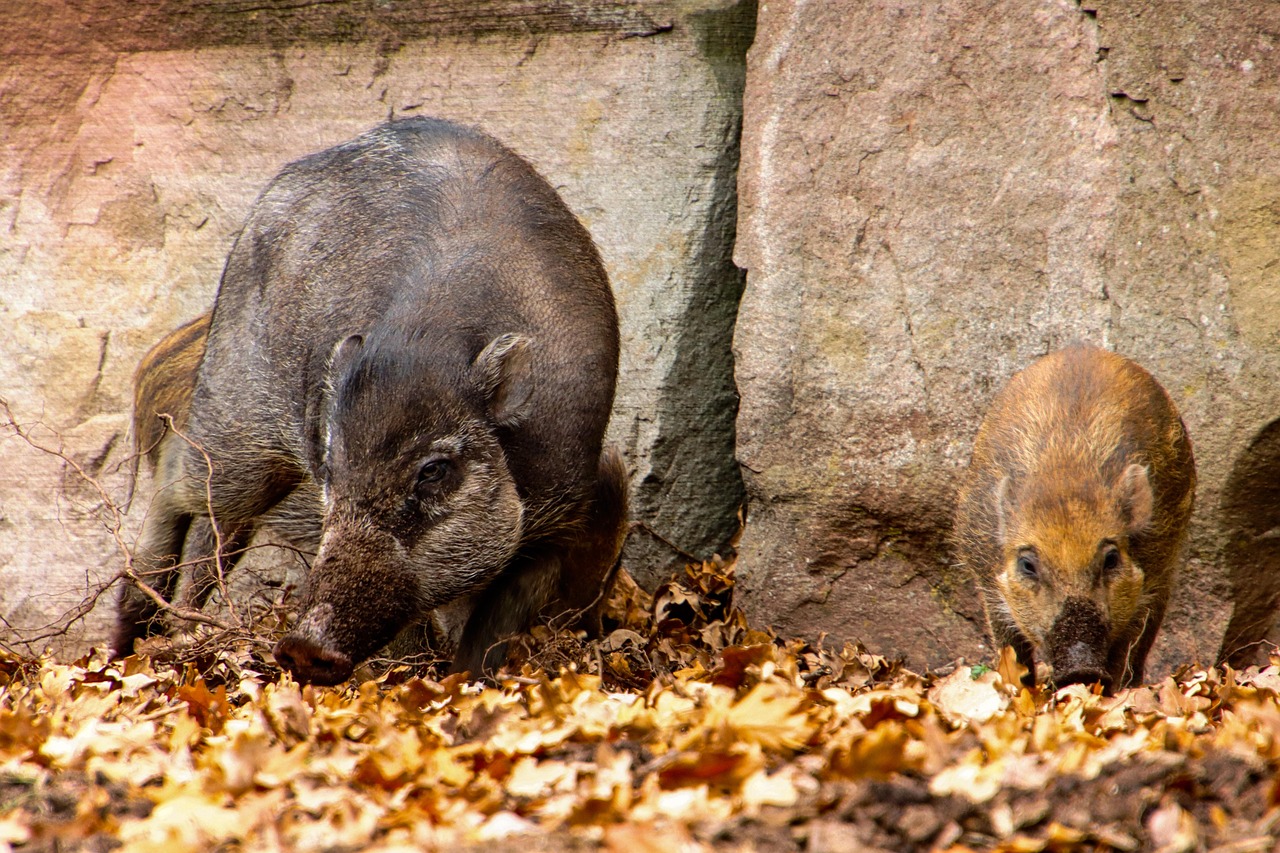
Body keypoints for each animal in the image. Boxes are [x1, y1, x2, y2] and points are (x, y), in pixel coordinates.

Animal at [112, 116, 627, 684]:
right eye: (331, 468)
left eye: (434, 470)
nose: (300, 646)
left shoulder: (560, 517)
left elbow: (492, 630)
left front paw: (466, 680)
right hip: (235, 415)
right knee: (183, 486)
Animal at [952, 345, 1196, 690]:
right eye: (1027, 565)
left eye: (1111, 559)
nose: (1081, 669)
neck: (1066, 478)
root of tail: (1081, 349)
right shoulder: (988, 580)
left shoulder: (1153, 575)